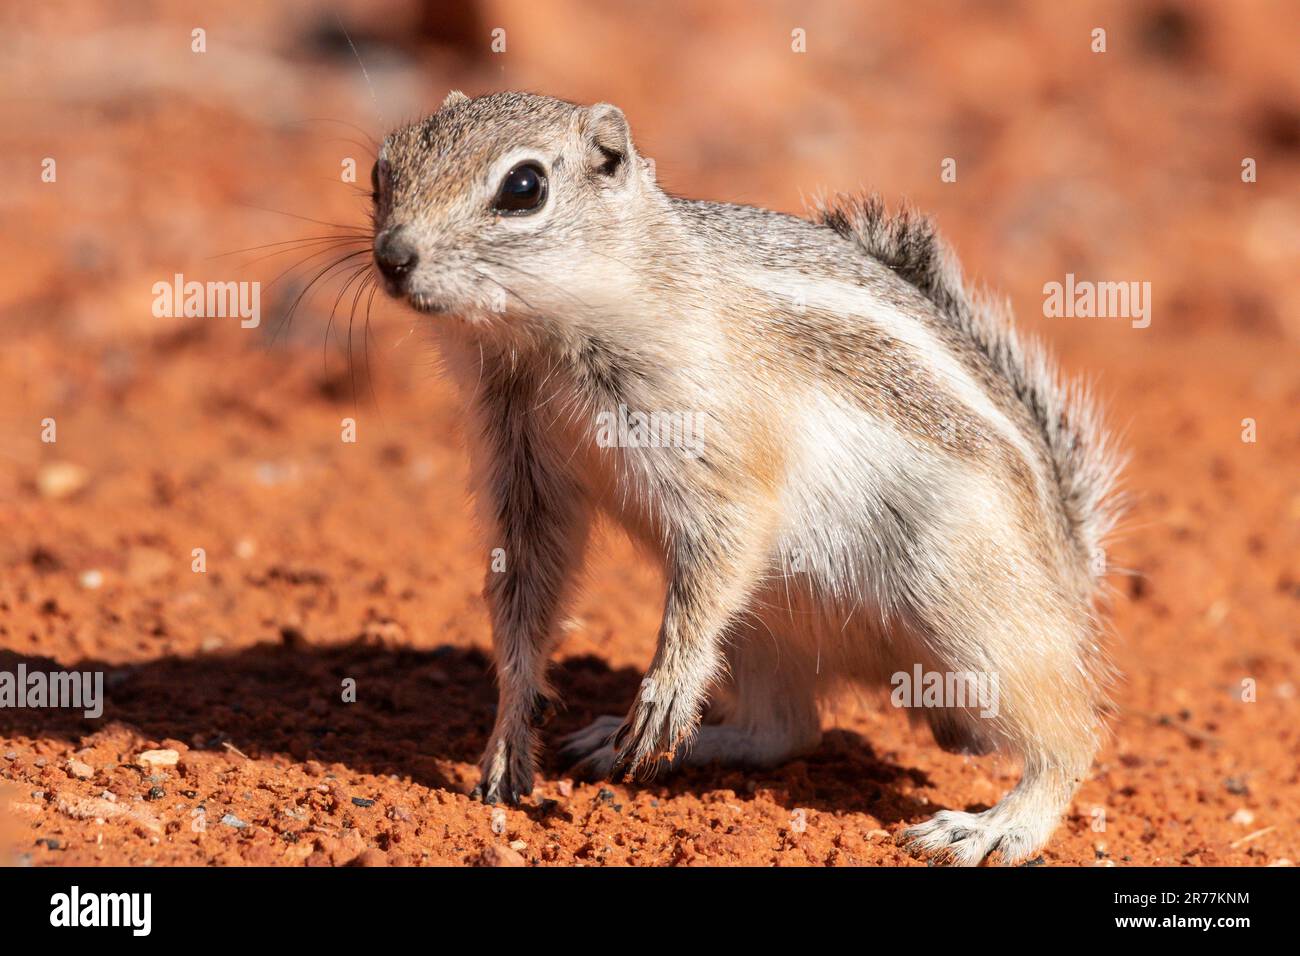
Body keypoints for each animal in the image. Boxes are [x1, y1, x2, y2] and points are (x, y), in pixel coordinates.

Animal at [369, 90, 1123, 865]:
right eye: (381, 170)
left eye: (524, 188)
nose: (392, 257)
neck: (540, 344)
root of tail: (1070, 562)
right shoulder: (522, 473)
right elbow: (523, 596)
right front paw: (509, 740)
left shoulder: (718, 449)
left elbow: (726, 537)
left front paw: (664, 688)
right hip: (768, 628)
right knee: (783, 730)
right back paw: (644, 744)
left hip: (969, 609)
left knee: (1070, 739)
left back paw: (994, 828)